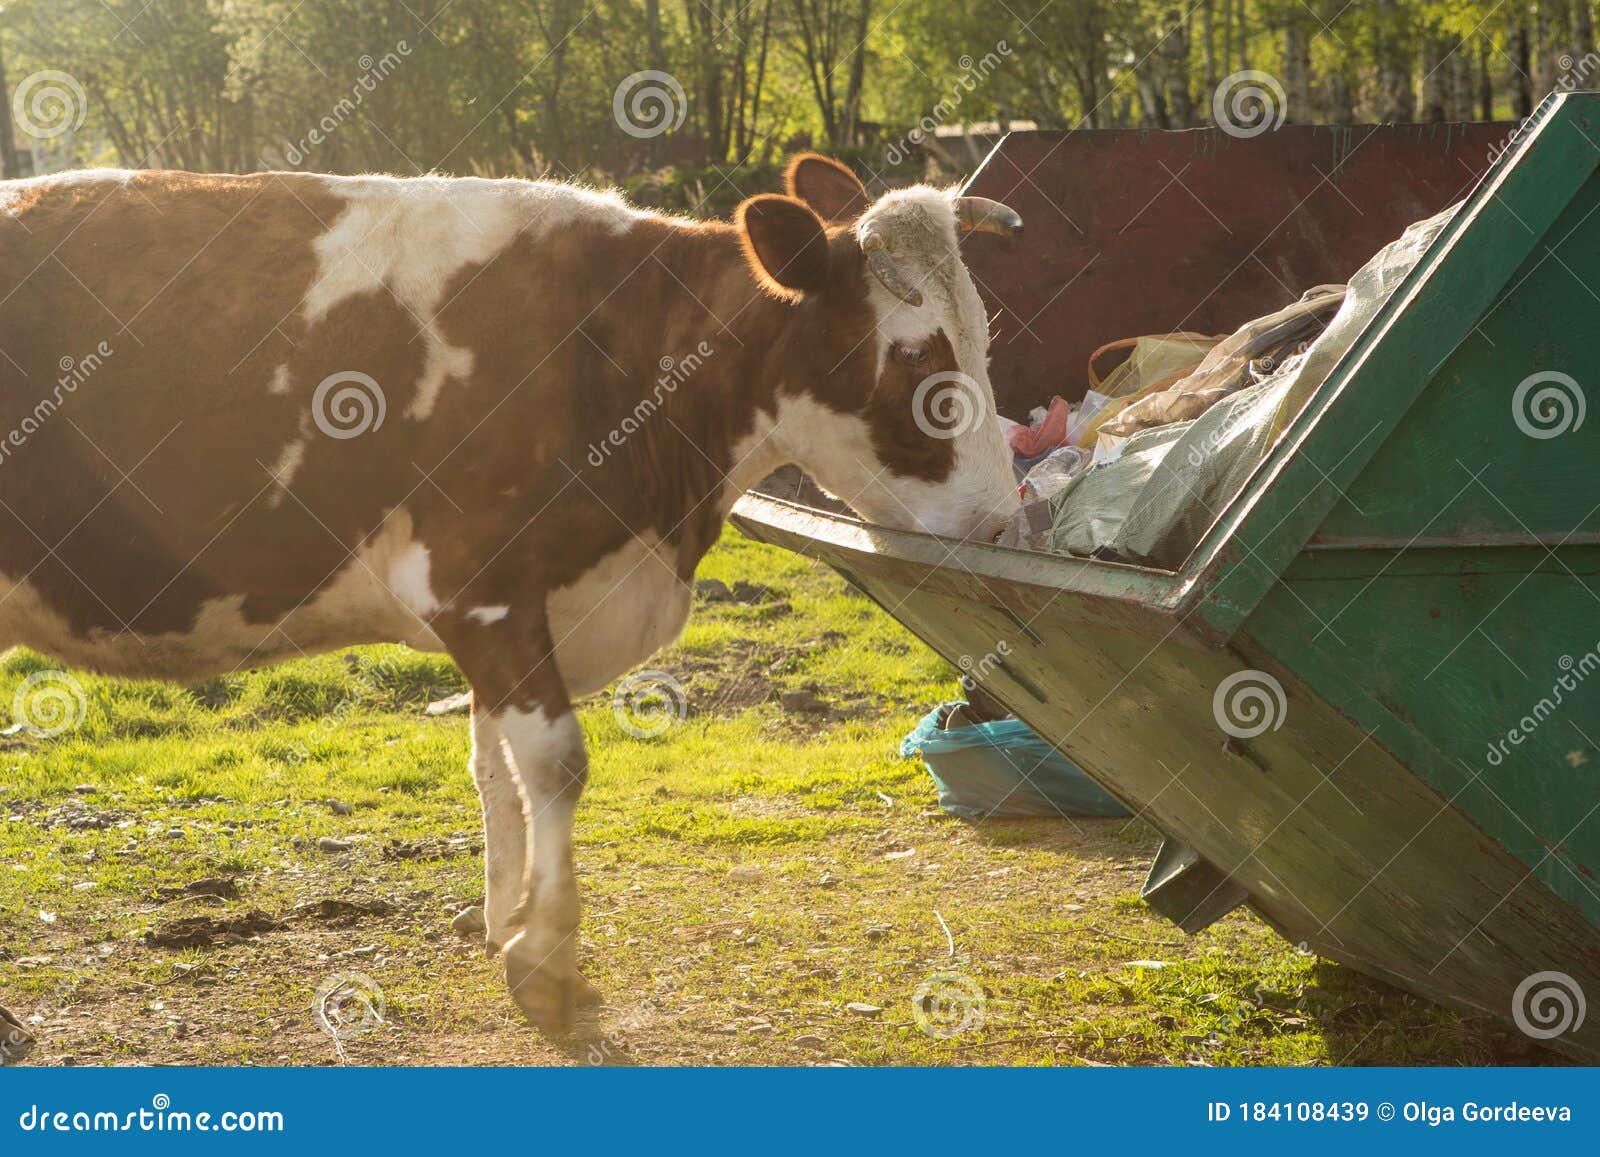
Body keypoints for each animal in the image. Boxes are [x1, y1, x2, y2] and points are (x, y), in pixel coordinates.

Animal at [0, 155, 1022, 1032]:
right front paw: (544, 957)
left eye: (985, 341)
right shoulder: (484, 586)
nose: (1000, 527)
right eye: (920, 362)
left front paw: (504, 917)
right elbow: (556, 763)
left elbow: (493, 766)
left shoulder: (513, 612)